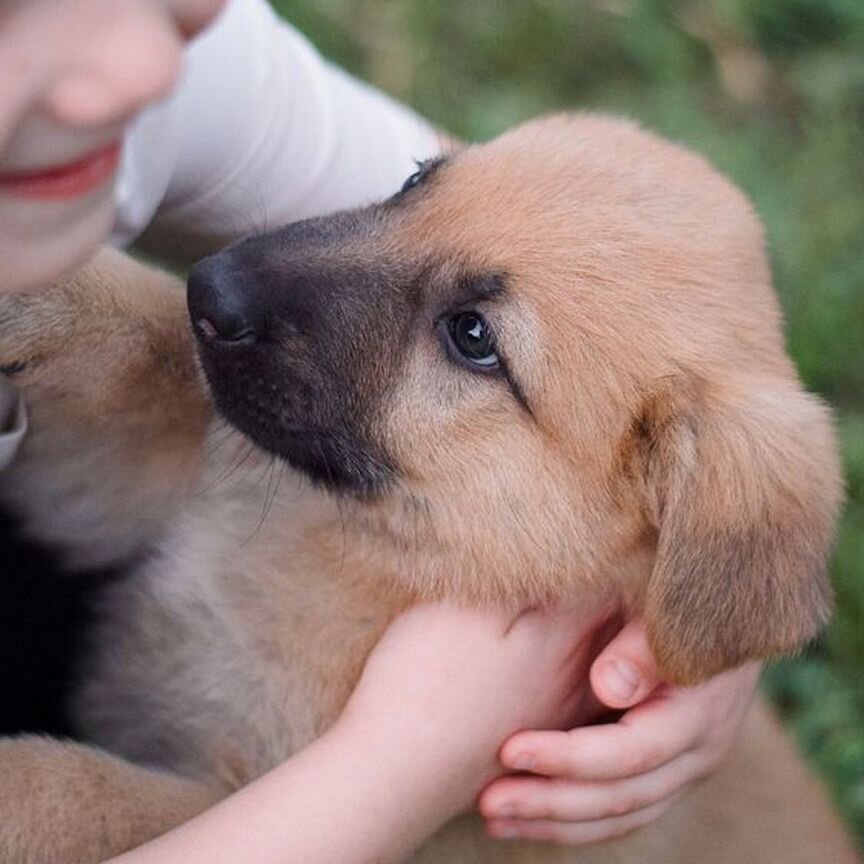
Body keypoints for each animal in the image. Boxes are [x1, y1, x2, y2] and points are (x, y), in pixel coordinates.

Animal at [0, 115, 856, 864]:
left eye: (473, 336)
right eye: (417, 181)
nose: (210, 293)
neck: (379, 539)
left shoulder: (239, 792)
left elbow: (72, 793)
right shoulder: (111, 490)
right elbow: (139, 338)